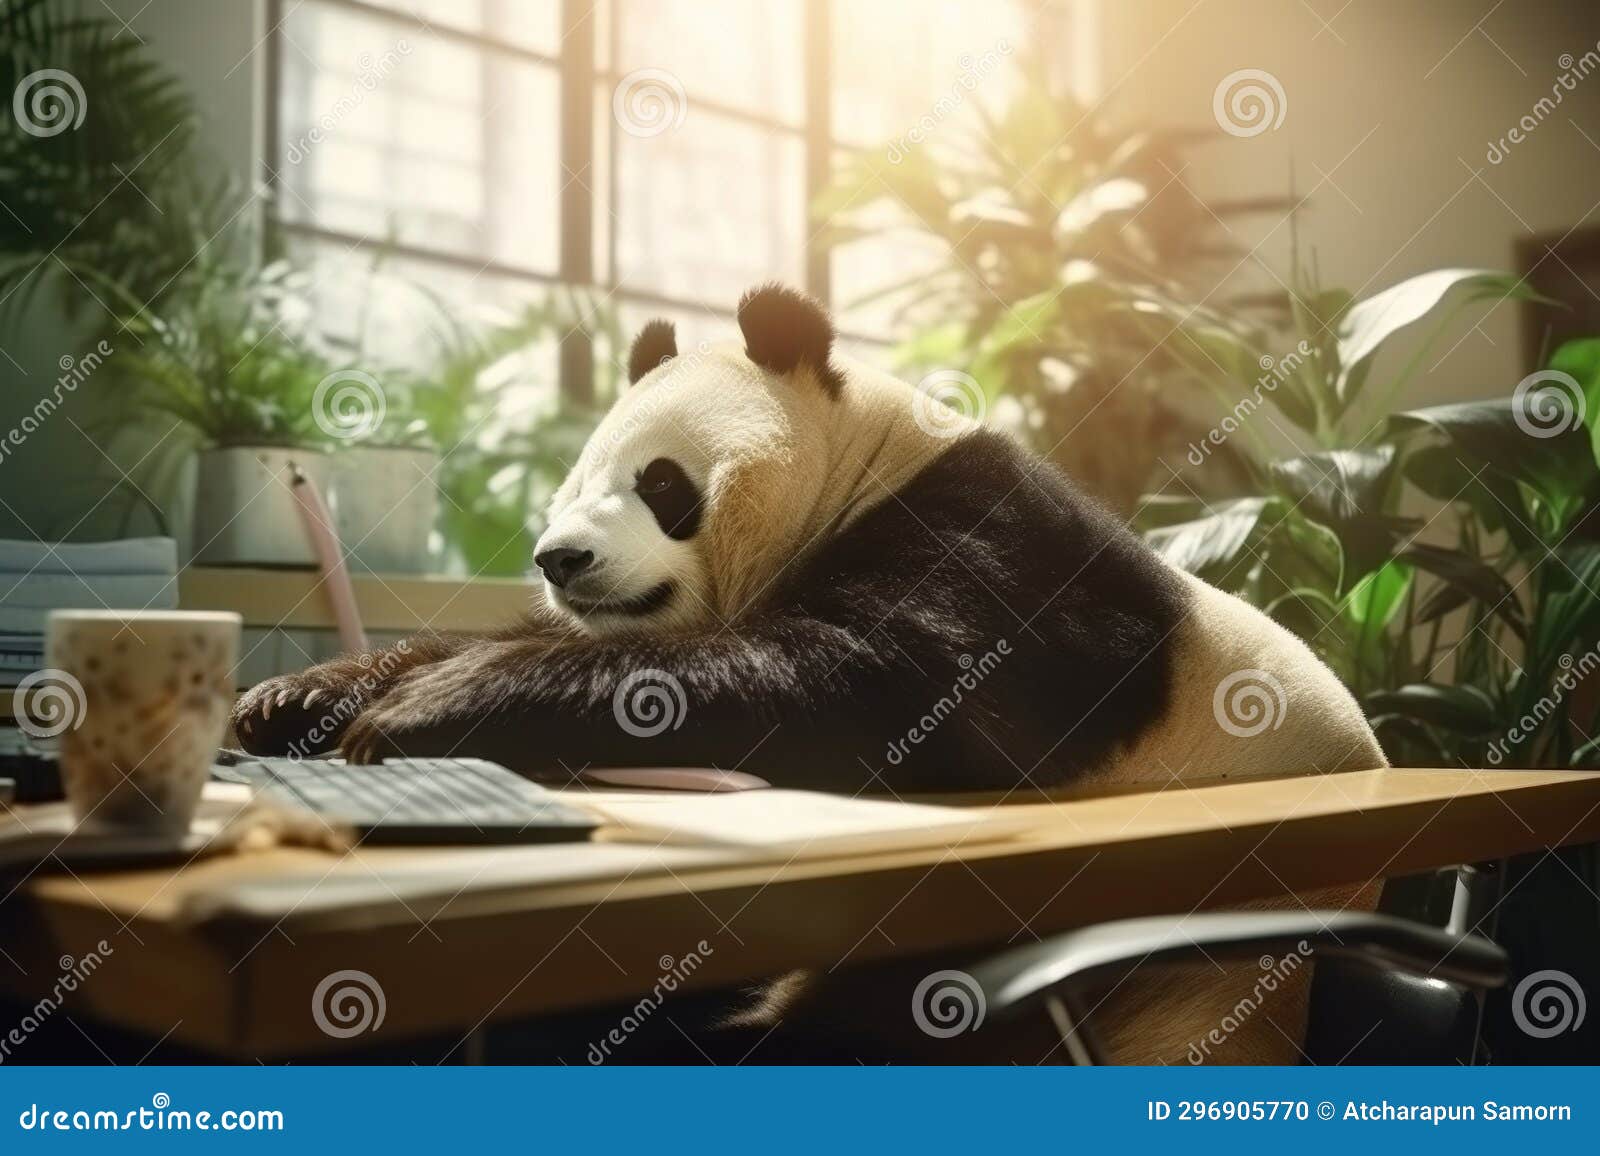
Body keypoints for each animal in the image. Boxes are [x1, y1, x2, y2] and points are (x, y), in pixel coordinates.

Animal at [234, 284, 1386, 1063]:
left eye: (660, 485)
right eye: (571, 486)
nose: (561, 558)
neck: (861, 464)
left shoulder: (1000, 557)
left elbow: (880, 688)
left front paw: (424, 712)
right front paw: (300, 696)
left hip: (1103, 959)